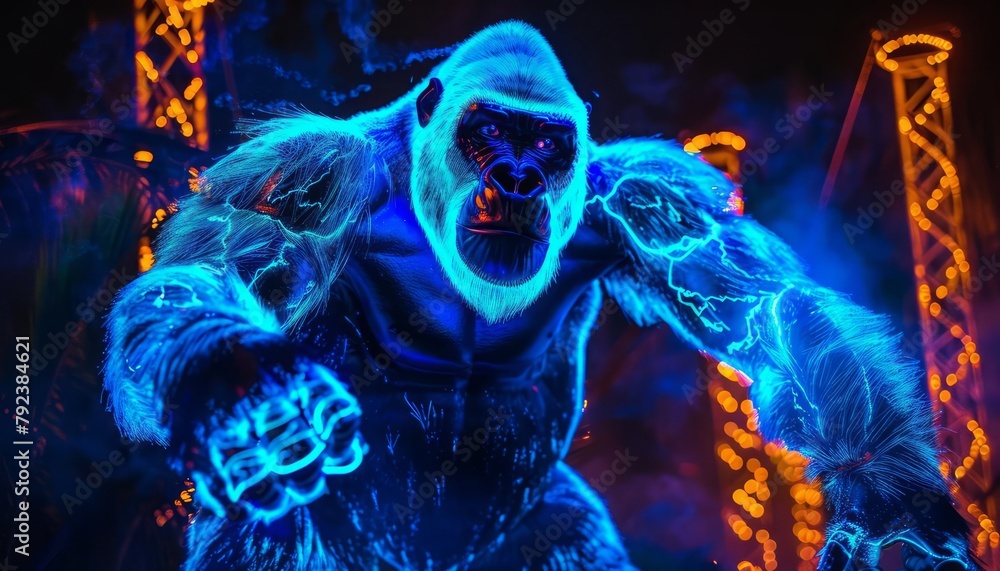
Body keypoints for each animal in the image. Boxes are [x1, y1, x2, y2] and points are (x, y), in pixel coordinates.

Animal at [104, 21, 977, 571]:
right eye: (491, 128)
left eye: (548, 142)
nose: (520, 176)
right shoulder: (304, 180)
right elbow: (215, 267)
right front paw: (231, 377)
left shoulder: (653, 199)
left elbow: (763, 304)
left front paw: (888, 491)